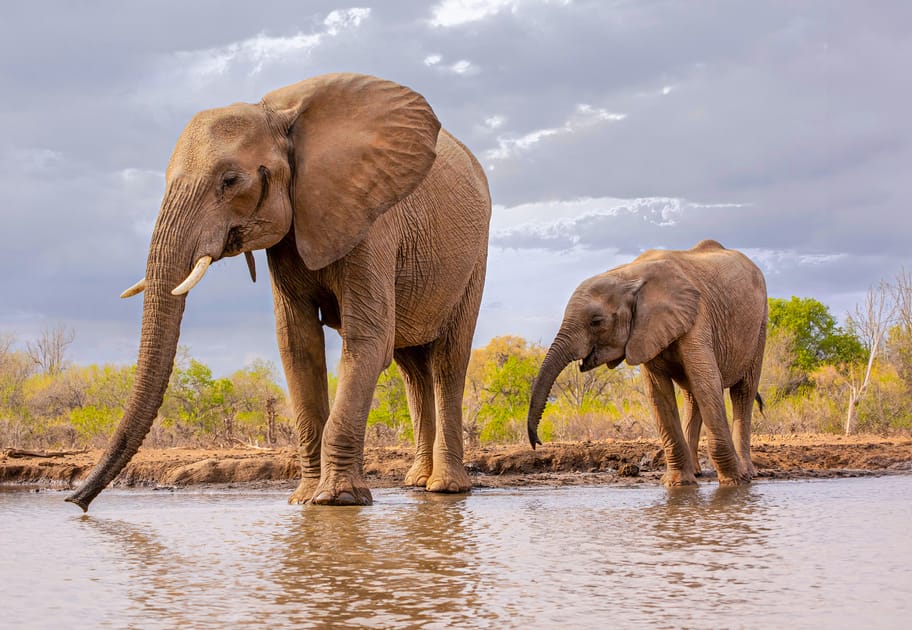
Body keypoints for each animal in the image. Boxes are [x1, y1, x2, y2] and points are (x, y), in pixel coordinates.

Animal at [67, 73, 491, 510]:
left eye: (230, 181)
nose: (76, 502)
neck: (280, 118)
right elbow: (297, 344)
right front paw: (304, 500)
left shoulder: (372, 223)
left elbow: (369, 338)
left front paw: (337, 499)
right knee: (412, 368)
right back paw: (416, 482)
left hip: (474, 259)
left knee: (448, 360)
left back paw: (444, 487)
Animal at [527, 240, 767, 486]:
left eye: (596, 322)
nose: (538, 443)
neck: (628, 274)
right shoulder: (647, 331)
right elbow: (659, 393)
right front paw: (678, 483)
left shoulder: (697, 319)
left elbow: (707, 383)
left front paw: (734, 482)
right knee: (692, 396)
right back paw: (697, 472)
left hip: (760, 325)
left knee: (743, 392)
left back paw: (747, 474)